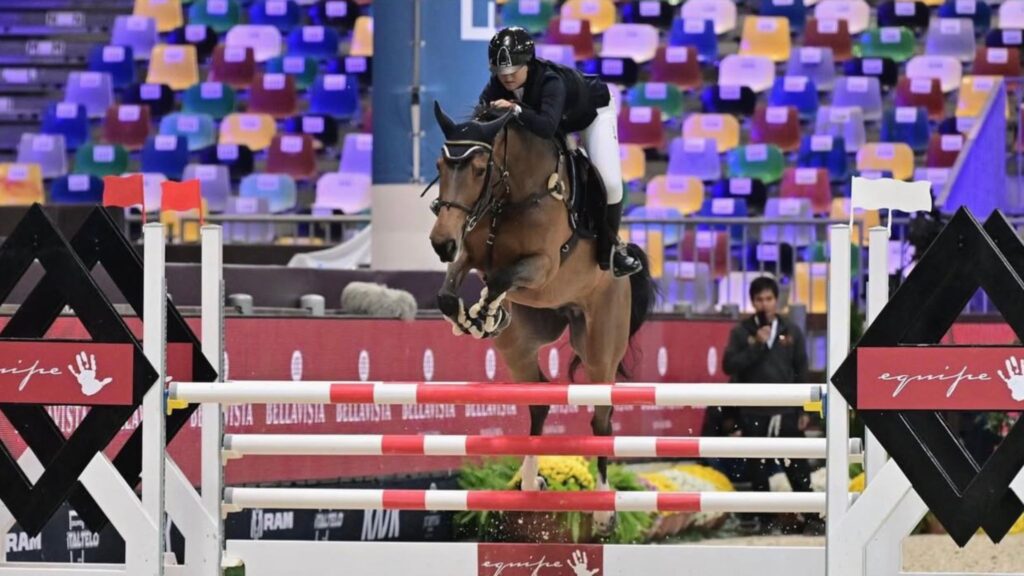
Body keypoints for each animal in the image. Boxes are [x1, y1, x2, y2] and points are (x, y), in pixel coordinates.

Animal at [427, 101, 657, 533]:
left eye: (479, 169)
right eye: (439, 165)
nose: (440, 242)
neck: (512, 194)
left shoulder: (543, 266)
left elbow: (502, 278)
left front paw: (484, 311)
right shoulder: (469, 256)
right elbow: (448, 294)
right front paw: (474, 319)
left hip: (600, 348)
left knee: (602, 421)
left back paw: (603, 512)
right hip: (521, 343)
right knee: (539, 403)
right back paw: (531, 482)